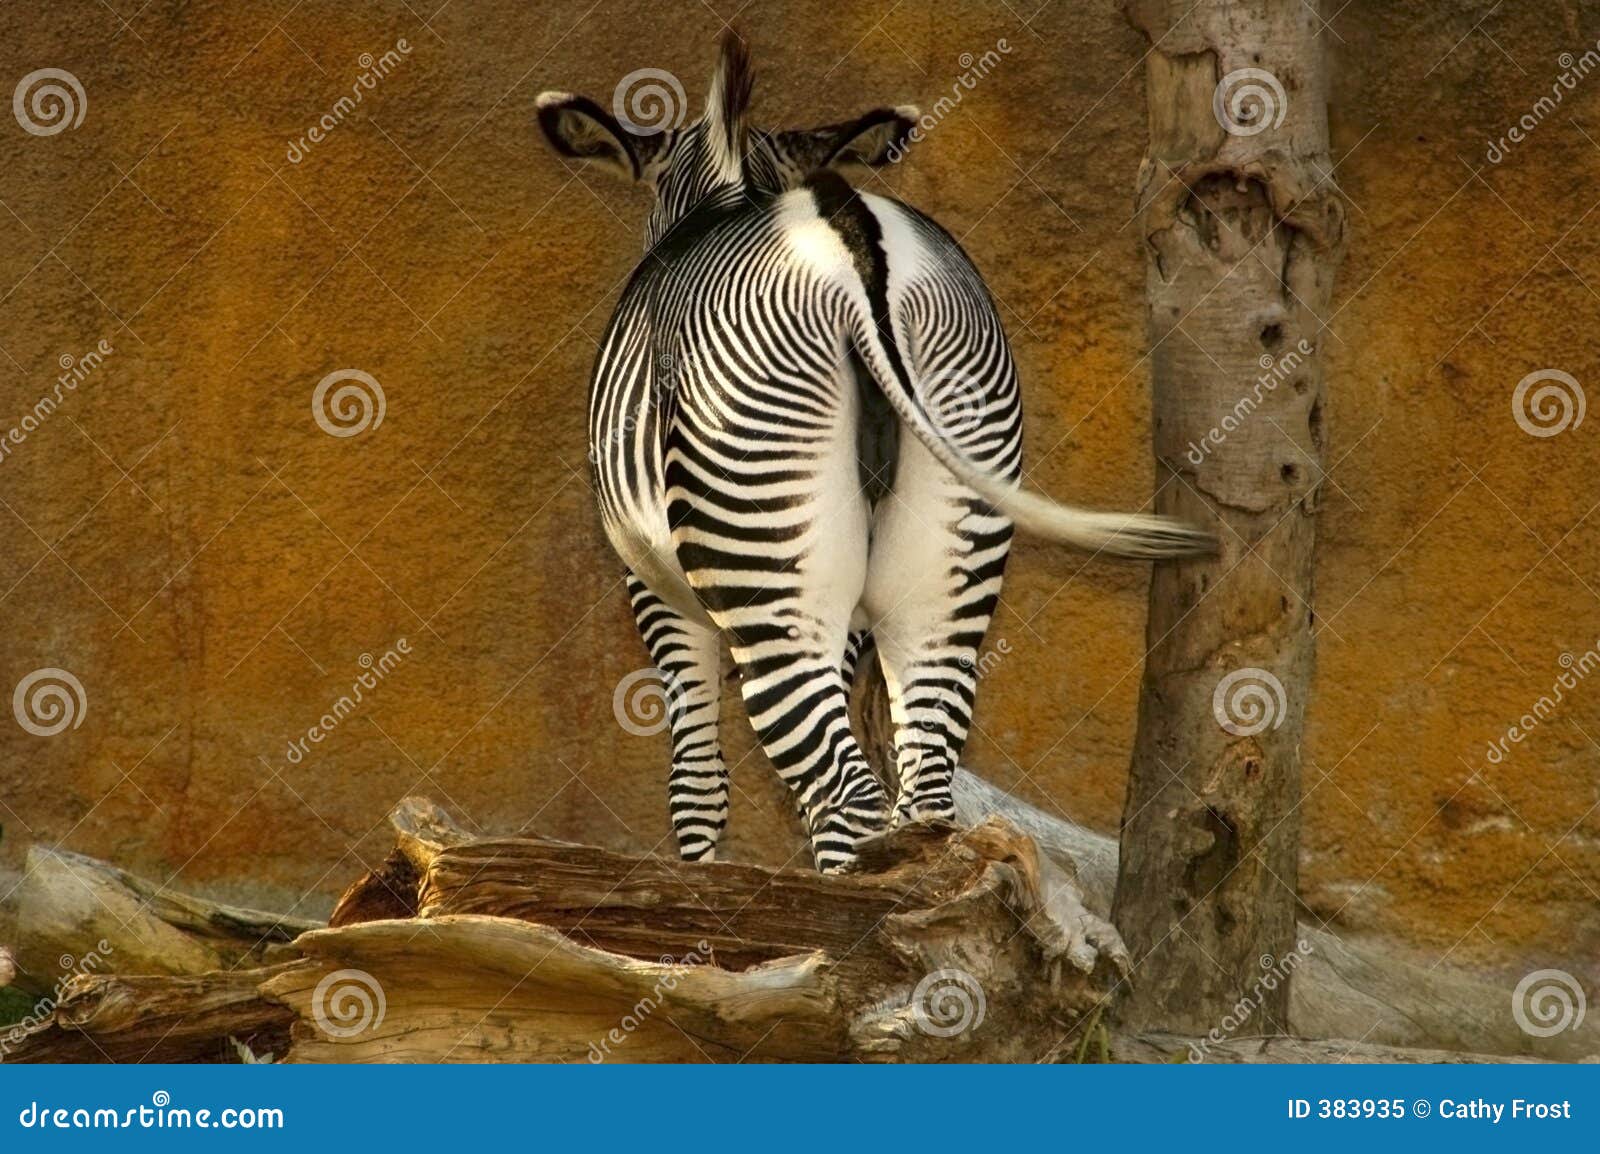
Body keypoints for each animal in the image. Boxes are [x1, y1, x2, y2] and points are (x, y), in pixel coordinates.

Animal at [537, 35, 1212, 873]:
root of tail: (849, 232)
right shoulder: (855, 610)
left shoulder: (652, 584)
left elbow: (698, 780)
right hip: (952, 525)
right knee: (921, 801)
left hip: (760, 529)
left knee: (848, 797)